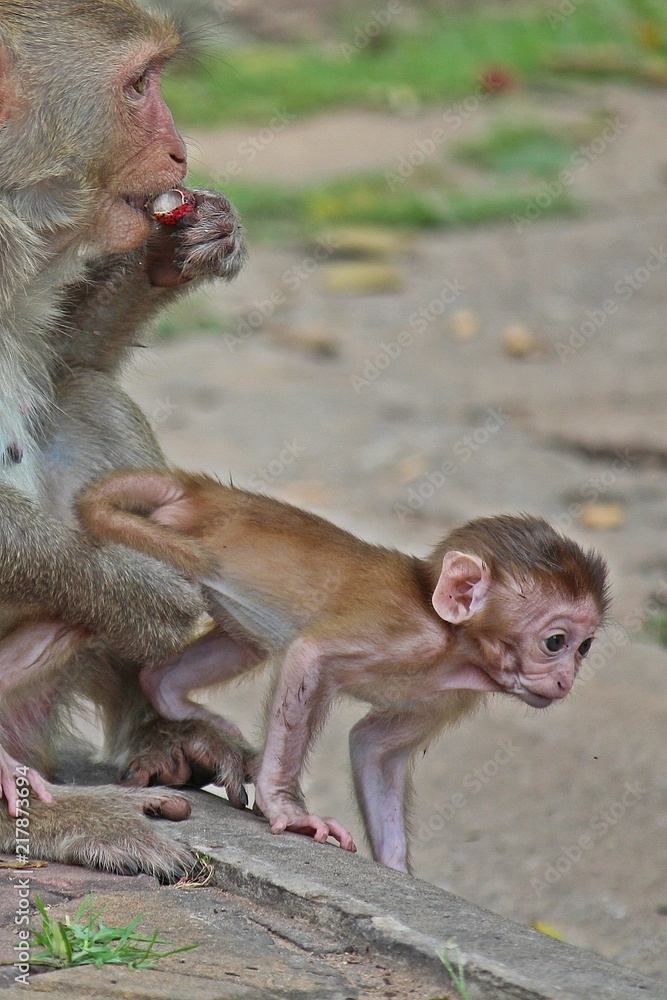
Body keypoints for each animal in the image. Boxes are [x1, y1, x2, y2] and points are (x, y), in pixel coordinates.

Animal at [0, 0, 252, 880]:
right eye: (140, 85)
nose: (180, 148)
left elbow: (64, 361)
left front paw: (178, 249)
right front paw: (149, 597)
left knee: (85, 400)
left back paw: (162, 728)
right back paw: (53, 818)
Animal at [73, 469, 610, 874]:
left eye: (584, 647)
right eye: (555, 642)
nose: (564, 680)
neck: (452, 644)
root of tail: (202, 490)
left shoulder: (447, 697)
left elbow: (374, 746)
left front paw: (394, 868)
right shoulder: (404, 635)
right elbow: (309, 655)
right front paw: (288, 811)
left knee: (227, 650)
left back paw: (184, 706)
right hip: (175, 541)